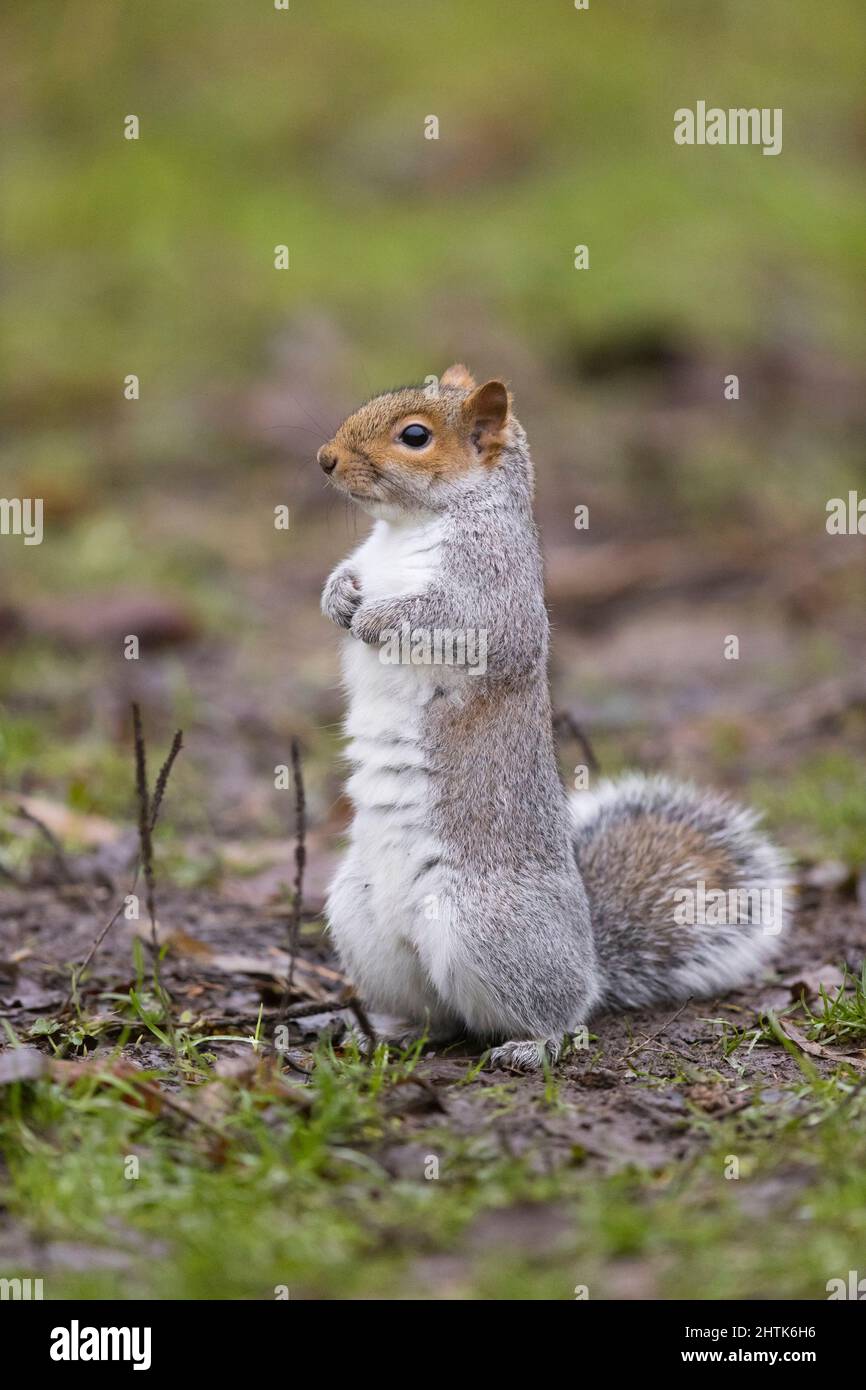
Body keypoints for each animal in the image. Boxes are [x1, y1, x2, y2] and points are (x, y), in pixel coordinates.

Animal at [317, 363, 791, 1071]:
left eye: (415, 436)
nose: (325, 459)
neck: (407, 529)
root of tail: (590, 960)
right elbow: (346, 577)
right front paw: (341, 597)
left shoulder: (494, 593)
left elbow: (456, 623)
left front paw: (377, 616)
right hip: (361, 922)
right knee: (436, 1014)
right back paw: (384, 1029)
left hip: (492, 931)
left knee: (556, 1014)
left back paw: (532, 1046)